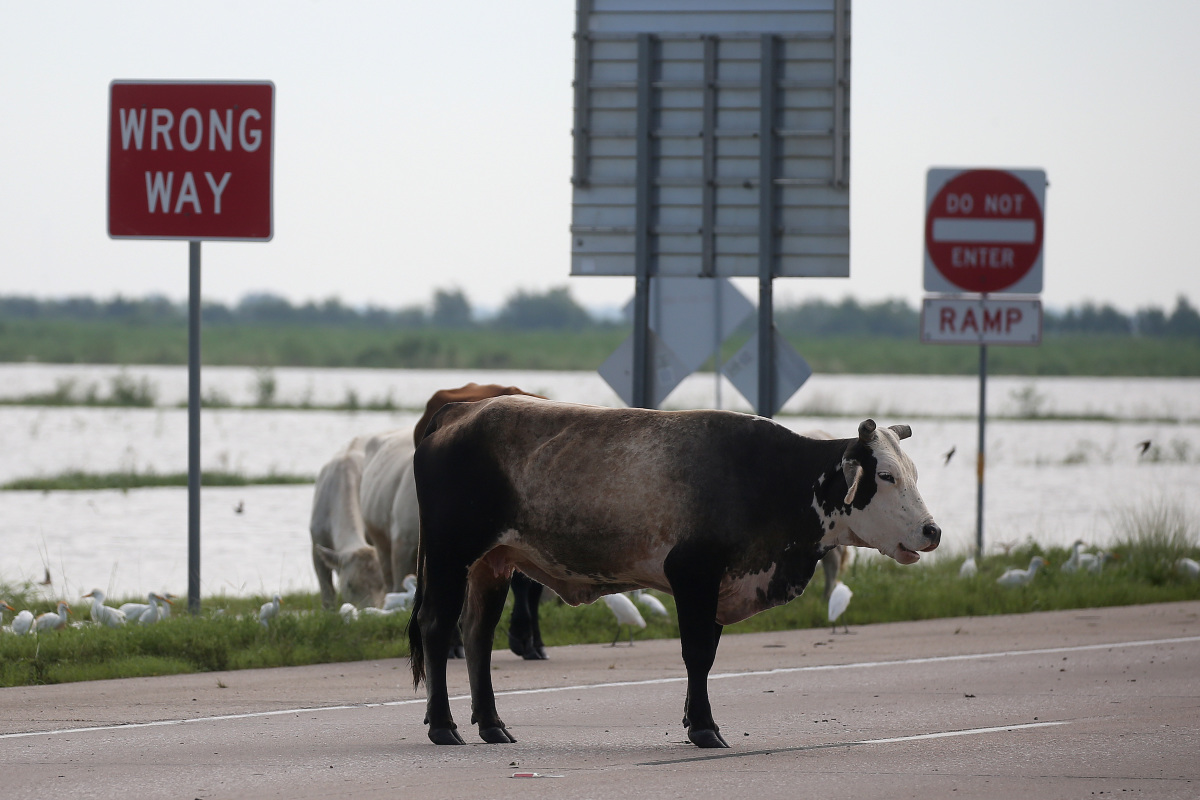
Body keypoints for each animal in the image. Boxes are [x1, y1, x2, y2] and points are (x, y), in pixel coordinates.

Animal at [408, 398, 940, 748]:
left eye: (915, 474)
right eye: (886, 475)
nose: (932, 531)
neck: (770, 477)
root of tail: (460, 411)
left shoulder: (723, 586)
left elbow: (707, 655)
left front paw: (694, 721)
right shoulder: (694, 575)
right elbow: (697, 654)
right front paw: (704, 727)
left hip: (492, 563)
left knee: (477, 637)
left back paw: (491, 724)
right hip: (451, 556)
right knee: (437, 628)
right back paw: (443, 726)